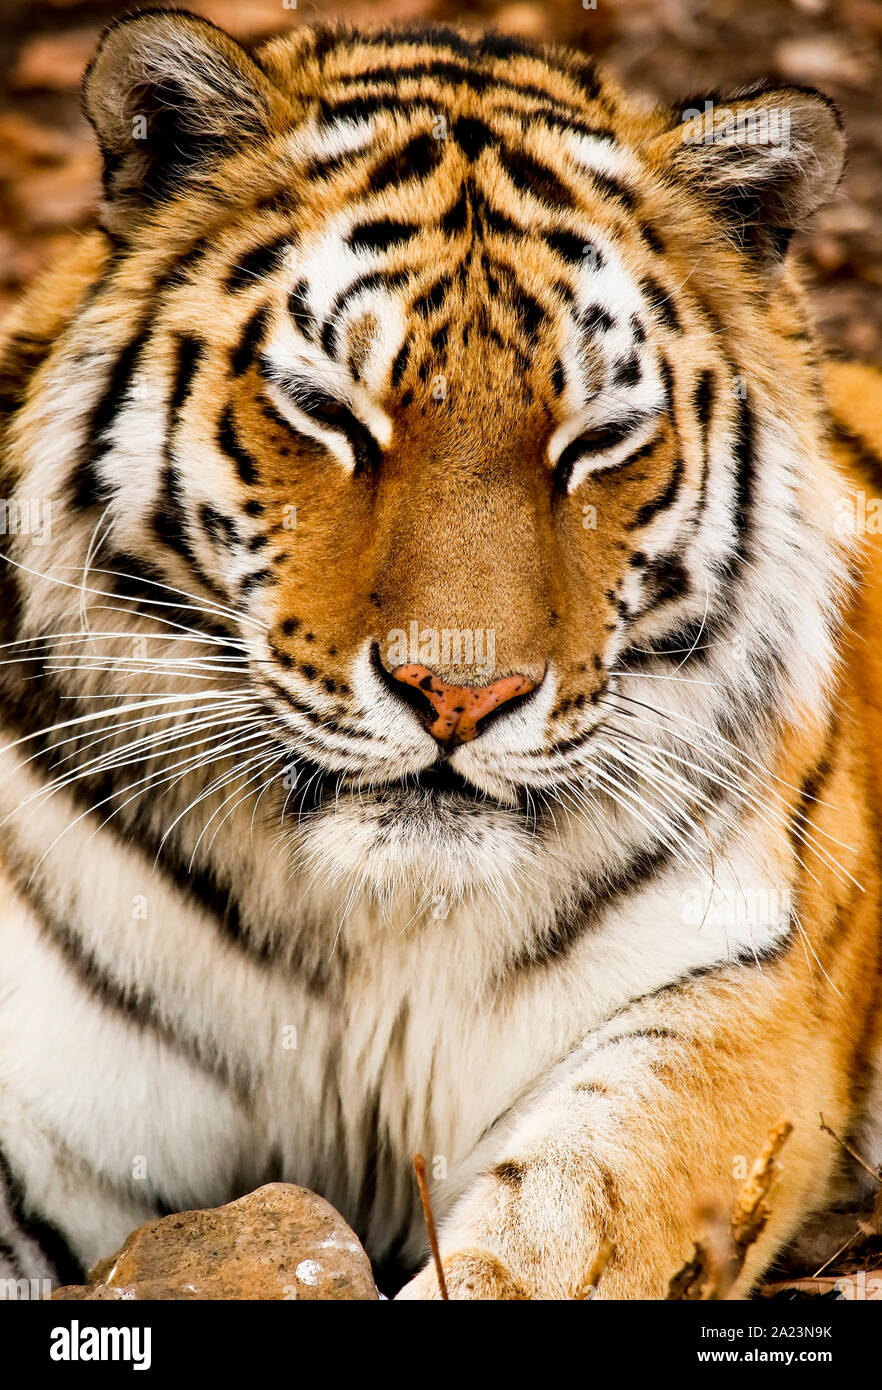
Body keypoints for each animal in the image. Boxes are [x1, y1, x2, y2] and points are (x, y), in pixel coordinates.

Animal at [0, 8, 880, 1303]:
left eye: (599, 440)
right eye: (327, 412)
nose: (460, 696)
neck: (378, 927)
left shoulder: (727, 1012)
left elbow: (556, 1223)